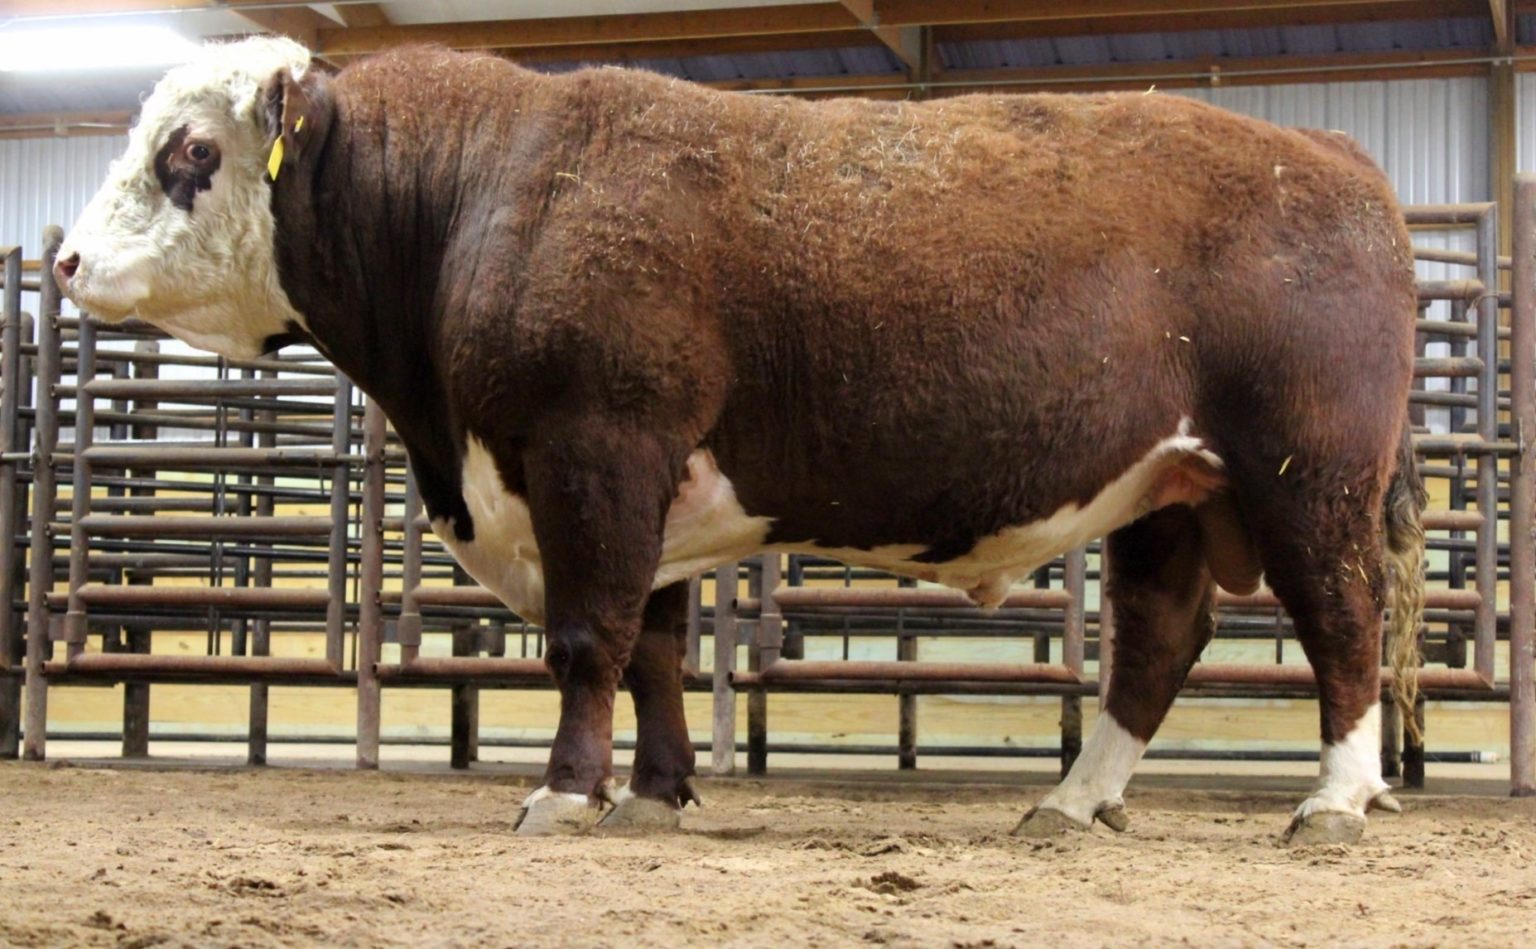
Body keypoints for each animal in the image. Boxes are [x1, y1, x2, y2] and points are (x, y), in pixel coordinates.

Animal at [57, 37, 1425, 844]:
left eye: (191, 151)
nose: (64, 260)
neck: (480, 196)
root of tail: (1329, 152)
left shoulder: (595, 449)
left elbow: (587, 636)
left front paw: (565, 790)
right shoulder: (639, 486)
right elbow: (656, 647)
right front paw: (657, 791)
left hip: (1308, 475)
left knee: (1341, 617)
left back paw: (1334, 800)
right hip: (1168, 489)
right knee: (1158, 640)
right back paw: (1072, 801)